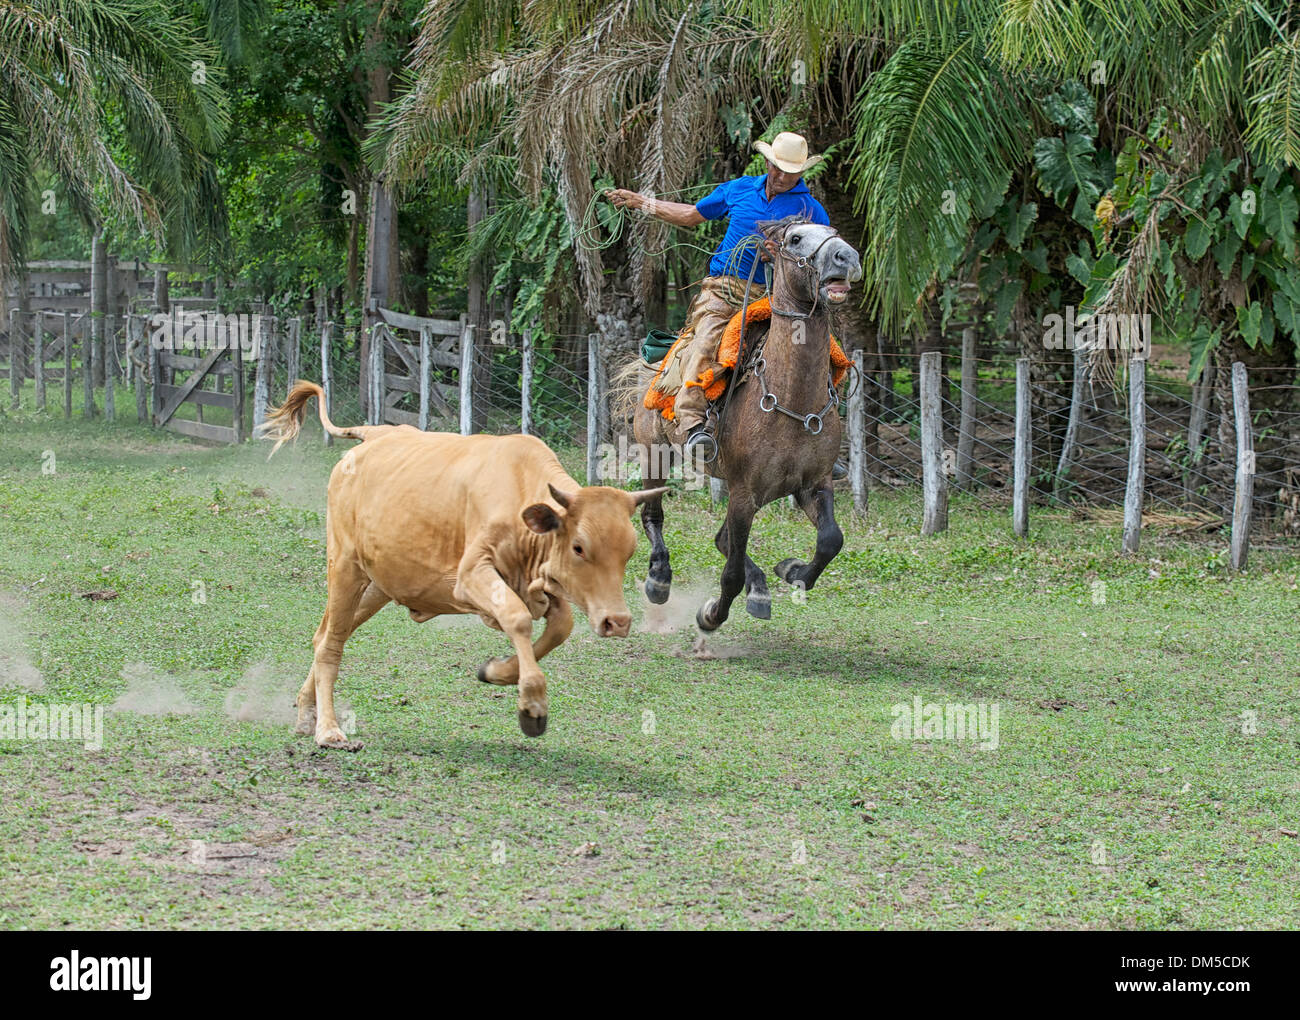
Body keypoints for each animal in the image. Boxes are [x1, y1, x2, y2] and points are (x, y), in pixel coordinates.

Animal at [259, 381, 666, 747]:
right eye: (579, 548)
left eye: (630, 550)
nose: (617, 621)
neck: (520, 495)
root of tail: (374, 435)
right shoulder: (471, 575)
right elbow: (517, 618)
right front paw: (532, 705)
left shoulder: (541, 584)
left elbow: (560, 627)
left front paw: (497, 672)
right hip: (345, 566)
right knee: (330, 644)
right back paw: (327, 730)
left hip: (378, 584)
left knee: (328, 634)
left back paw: (305, 714)